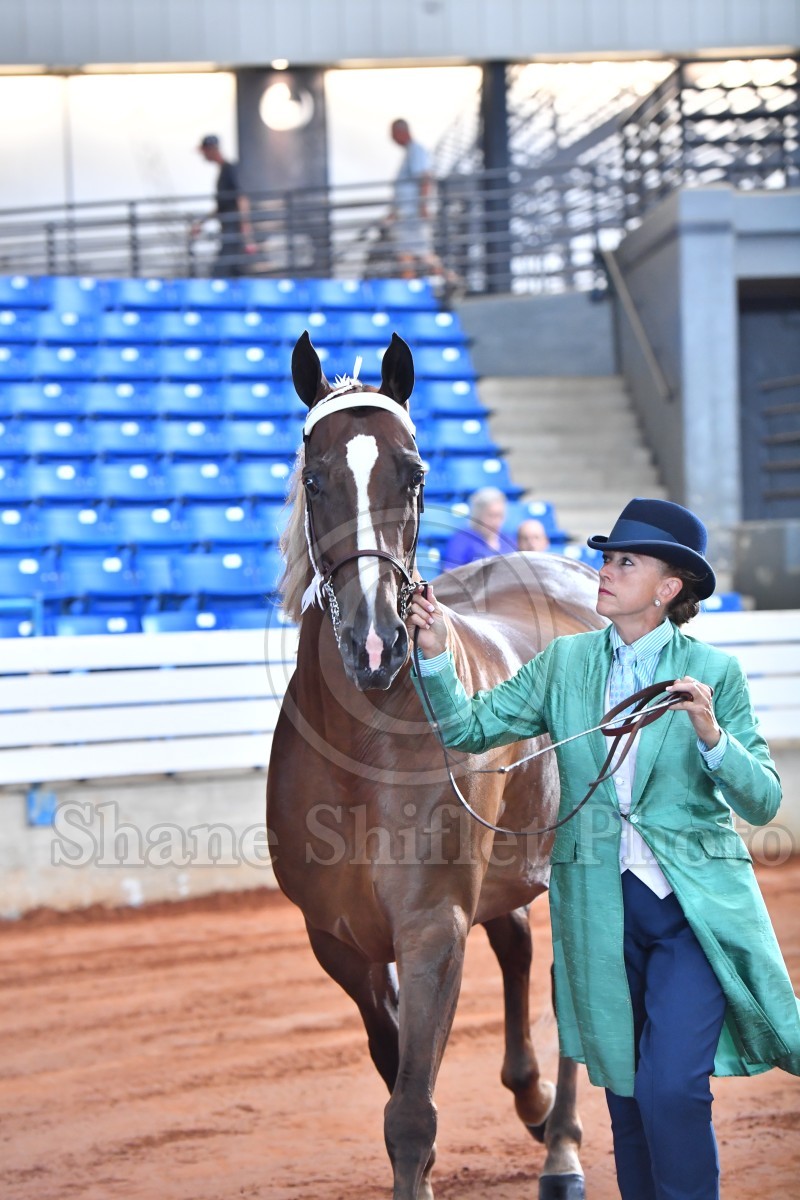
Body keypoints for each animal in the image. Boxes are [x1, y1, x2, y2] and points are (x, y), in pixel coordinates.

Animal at [266, 331, 605, 1200]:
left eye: (413, 472)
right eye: (314, 478)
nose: (376, 641)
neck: (363, 752)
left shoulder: (431, 926)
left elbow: (411, 1112)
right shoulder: (338, 941)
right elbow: (395, 1073)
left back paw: (562, 1147)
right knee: (517, 945)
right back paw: (533, 1102)